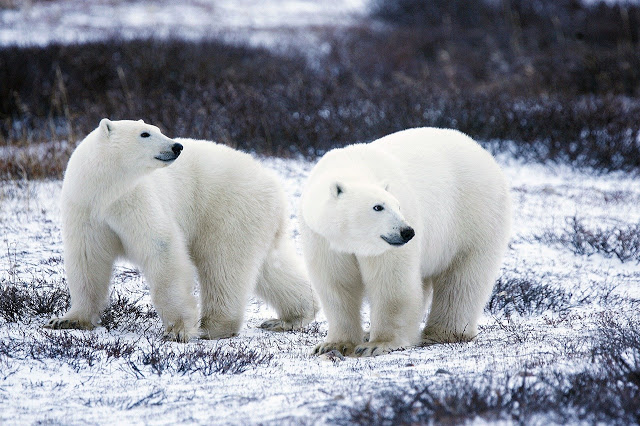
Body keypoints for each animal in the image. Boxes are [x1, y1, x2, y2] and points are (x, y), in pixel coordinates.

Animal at [45, 119, 317, 341]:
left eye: (157, 129)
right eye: (145, 133)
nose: (177, 146)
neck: (105, 190)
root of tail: (274, 184)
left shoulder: (135, 199)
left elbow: (161, 247)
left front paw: (178, 330)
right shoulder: (85, 208)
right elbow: (87, 259)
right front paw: (67, 320)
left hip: (229, 209)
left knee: (223, 264)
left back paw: (213, 327)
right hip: (257, 219)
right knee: (271, 267)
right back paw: (291, 317)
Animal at [300, 127, 511, 357]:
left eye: (398, 205)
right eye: (378, 207)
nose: (407, 232)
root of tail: (483, 152)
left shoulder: (387, 247)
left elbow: (392, 283)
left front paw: (377, 344)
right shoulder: (323, 239)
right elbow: (336, 284)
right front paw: (334, 344)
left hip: (473, 216)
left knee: (463, 279)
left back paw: (442, 333)